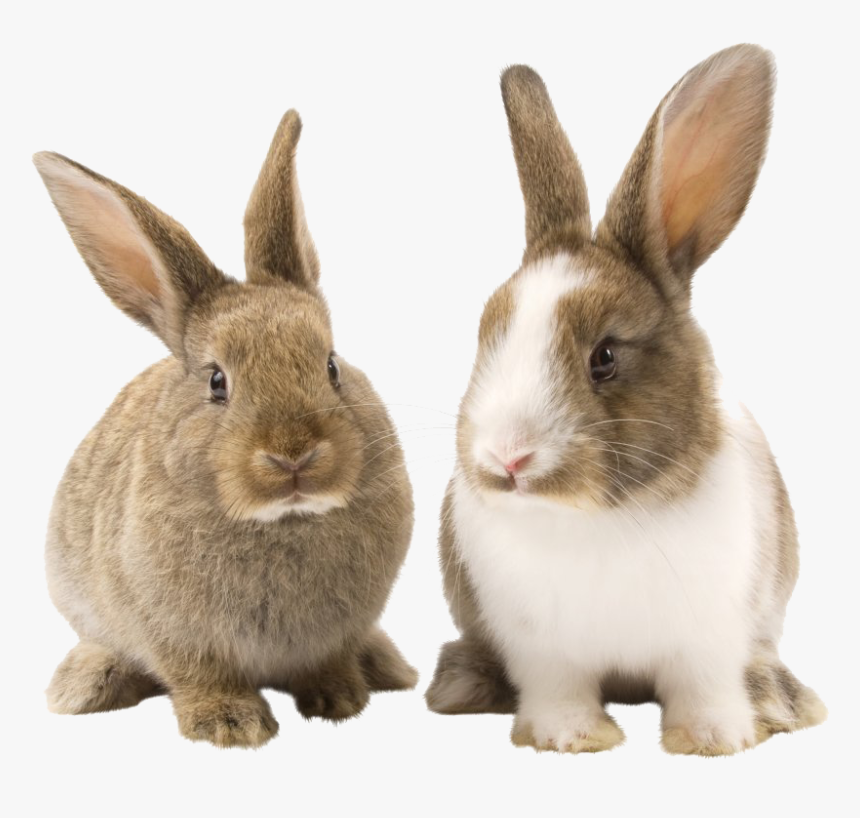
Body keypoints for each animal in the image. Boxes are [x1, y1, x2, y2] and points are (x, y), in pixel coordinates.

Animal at [35, 109, 417, 748]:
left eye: (332, 365)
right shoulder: (176, 634)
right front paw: (232, 725)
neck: (283, 520)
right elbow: (199, 675)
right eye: (217, 382)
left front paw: (339, 700)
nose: (293, 456)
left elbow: (329, 661)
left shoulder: (338, 631)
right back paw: (84, 687)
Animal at [425, 44, 826, 755]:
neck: (594, 521)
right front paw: (571, 738)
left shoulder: (710, 638)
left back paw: (780, 701)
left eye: (605, 357)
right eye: (485, 333)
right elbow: (559, 691)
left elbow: (704, 687)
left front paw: (715, 739)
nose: (507, 459)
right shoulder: (541, 651)